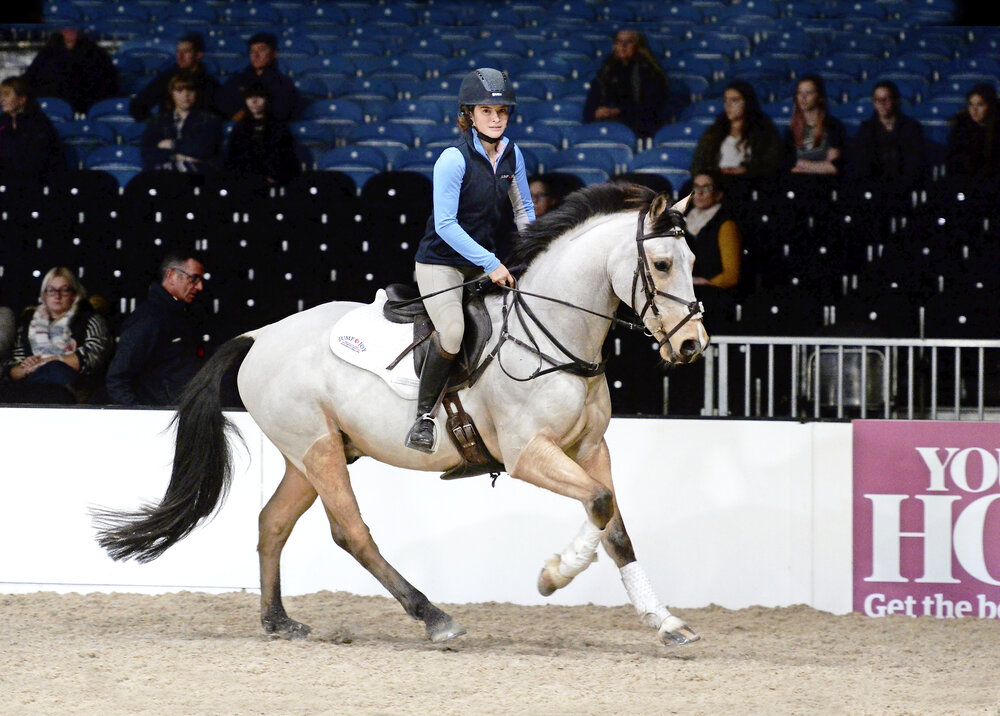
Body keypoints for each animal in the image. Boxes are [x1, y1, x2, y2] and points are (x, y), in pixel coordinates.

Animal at [93, 182, 709, 647]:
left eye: (693, 262)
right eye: (660, 264)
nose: (692, 346)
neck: (554, 334)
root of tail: (260, 334)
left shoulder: (589, 448)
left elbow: (614, 524)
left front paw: (665, 621)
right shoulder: (529, 454)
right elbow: (600, 505)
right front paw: (554, 574)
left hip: (309, 452)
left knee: (273, 523)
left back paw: (278, 621)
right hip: (318, 449)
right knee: (352, 533)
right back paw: (434, 617)